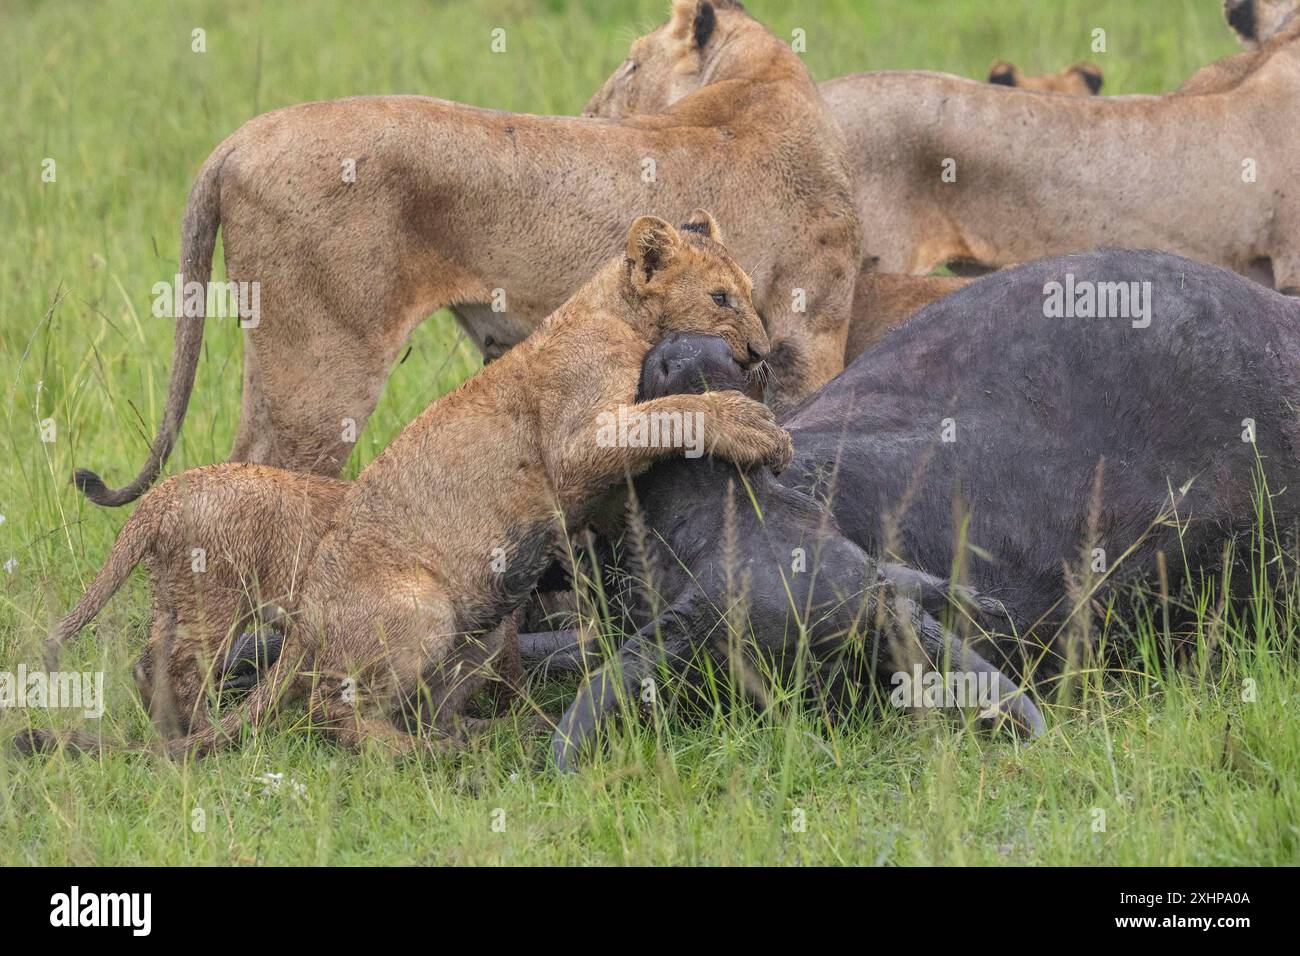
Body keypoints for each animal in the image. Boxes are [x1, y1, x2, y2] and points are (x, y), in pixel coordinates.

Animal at [24, 213, 792, 758]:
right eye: (722, 298)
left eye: (748, 296)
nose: (761, 352)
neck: (613, 310)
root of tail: (308, 614)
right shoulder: (577, 442)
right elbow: (672, 411)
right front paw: (752, 425)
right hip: (415, 608)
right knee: (325, 710)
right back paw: (418, 755)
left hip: (476, 619)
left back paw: (471, 737)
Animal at [75, 0, 858, 509]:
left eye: (631, 63)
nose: (588, 110)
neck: (762, 77)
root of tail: (240, 138)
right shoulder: (809, 334)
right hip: (325, 367)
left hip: (272, 362)